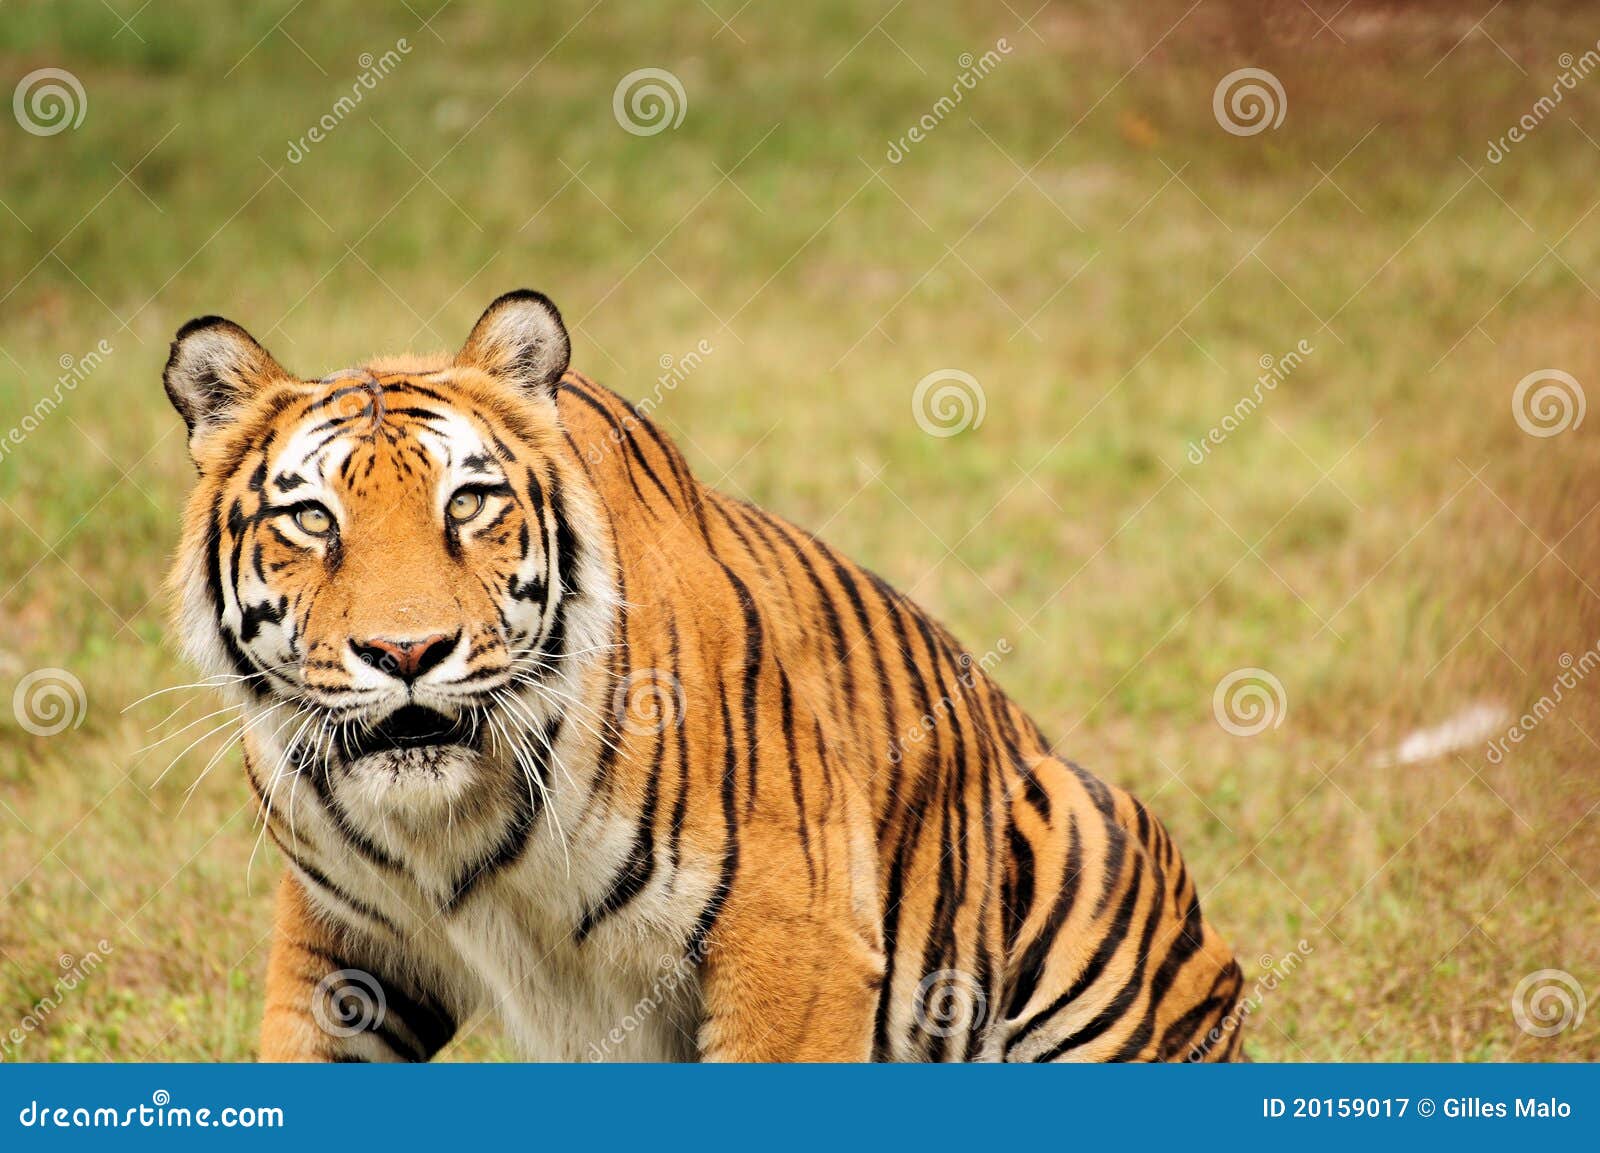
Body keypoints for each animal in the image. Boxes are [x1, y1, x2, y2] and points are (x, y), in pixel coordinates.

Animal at [161, 290, 1246, 1062]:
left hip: (1081, 823)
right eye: (312, 518)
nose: (407, 652)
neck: (448, 824)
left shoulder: (796, 938)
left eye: (467, 504)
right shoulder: (346, 950)